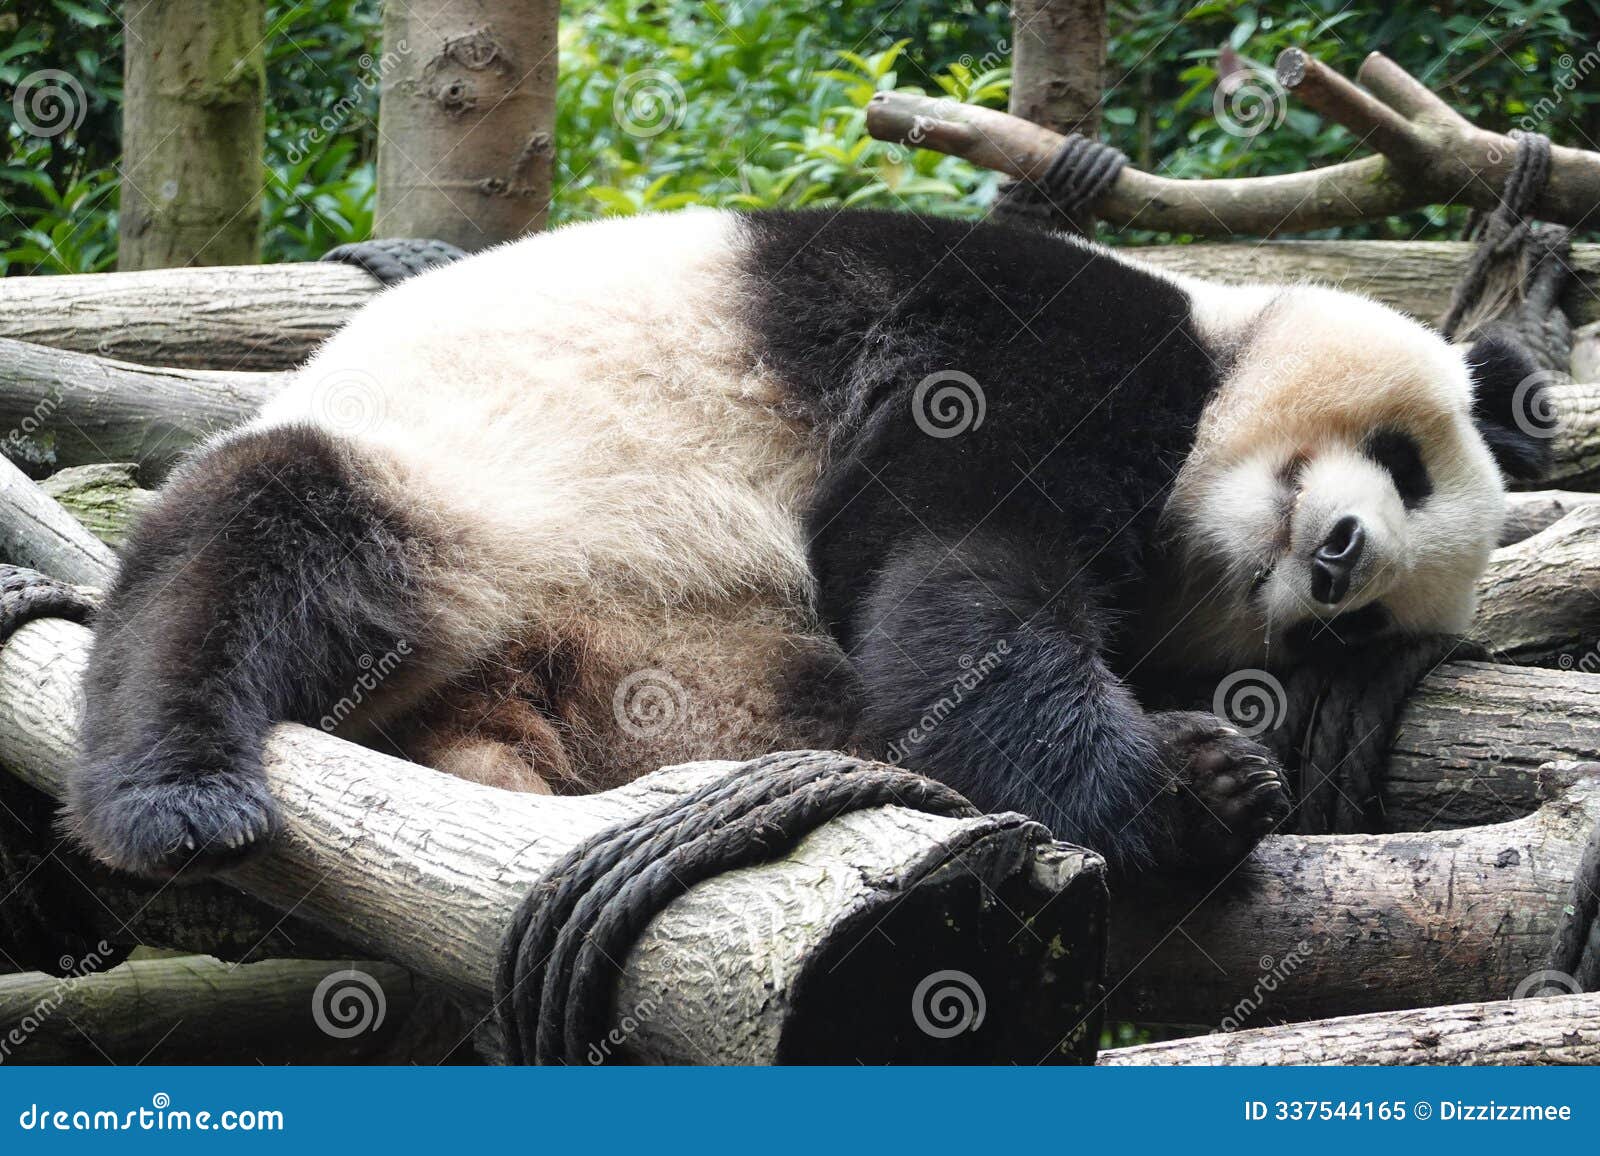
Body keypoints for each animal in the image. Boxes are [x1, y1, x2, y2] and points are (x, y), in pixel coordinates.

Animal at [65, 209, 1549, 880]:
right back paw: (176, 795)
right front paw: (1148, 796)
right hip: (440, 488)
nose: (1338, 562)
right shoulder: (1027, 328)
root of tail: (492, 706)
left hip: (706, 666)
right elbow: (954, 559)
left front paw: (1202, 775)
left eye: (1360, 630)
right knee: (248, 544)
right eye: (1407, 463)